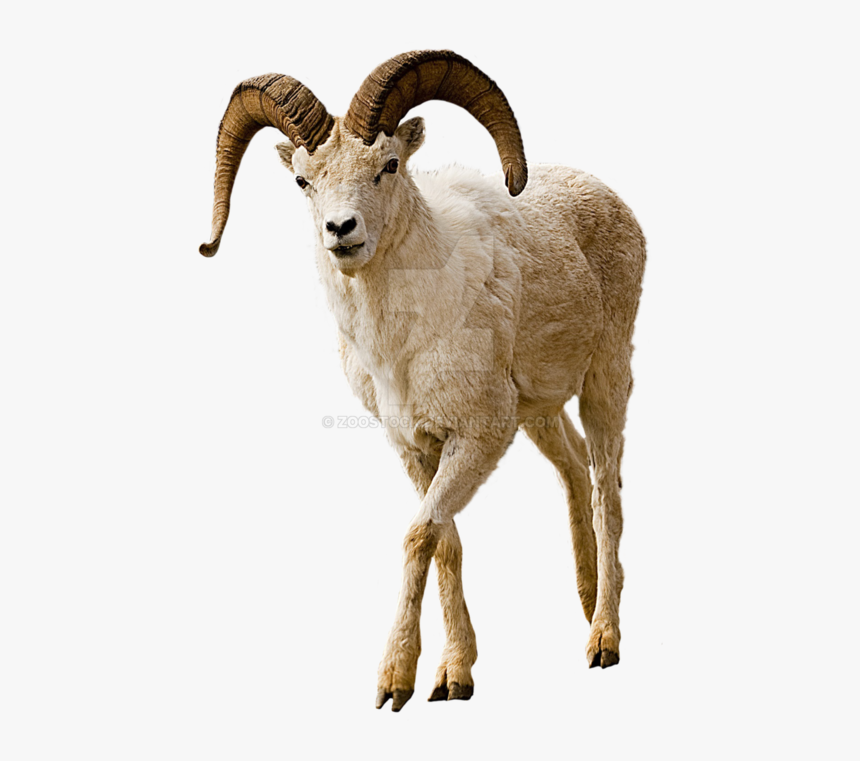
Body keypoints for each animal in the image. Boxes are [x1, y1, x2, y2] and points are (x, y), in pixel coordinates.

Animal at [199, 50, 646, 711]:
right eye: (303, 181)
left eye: (388, 165)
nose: (341, 230)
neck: (402, 347)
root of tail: (611, 200)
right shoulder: (416, 446)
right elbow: (446, 544)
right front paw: (454, 678)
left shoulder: (477, 438)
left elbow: (419, 537)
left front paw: (395, 683)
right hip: (539, 410)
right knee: (572, 467)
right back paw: (585, 601)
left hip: (605, 380)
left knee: (605, 493)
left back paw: (602, 642)